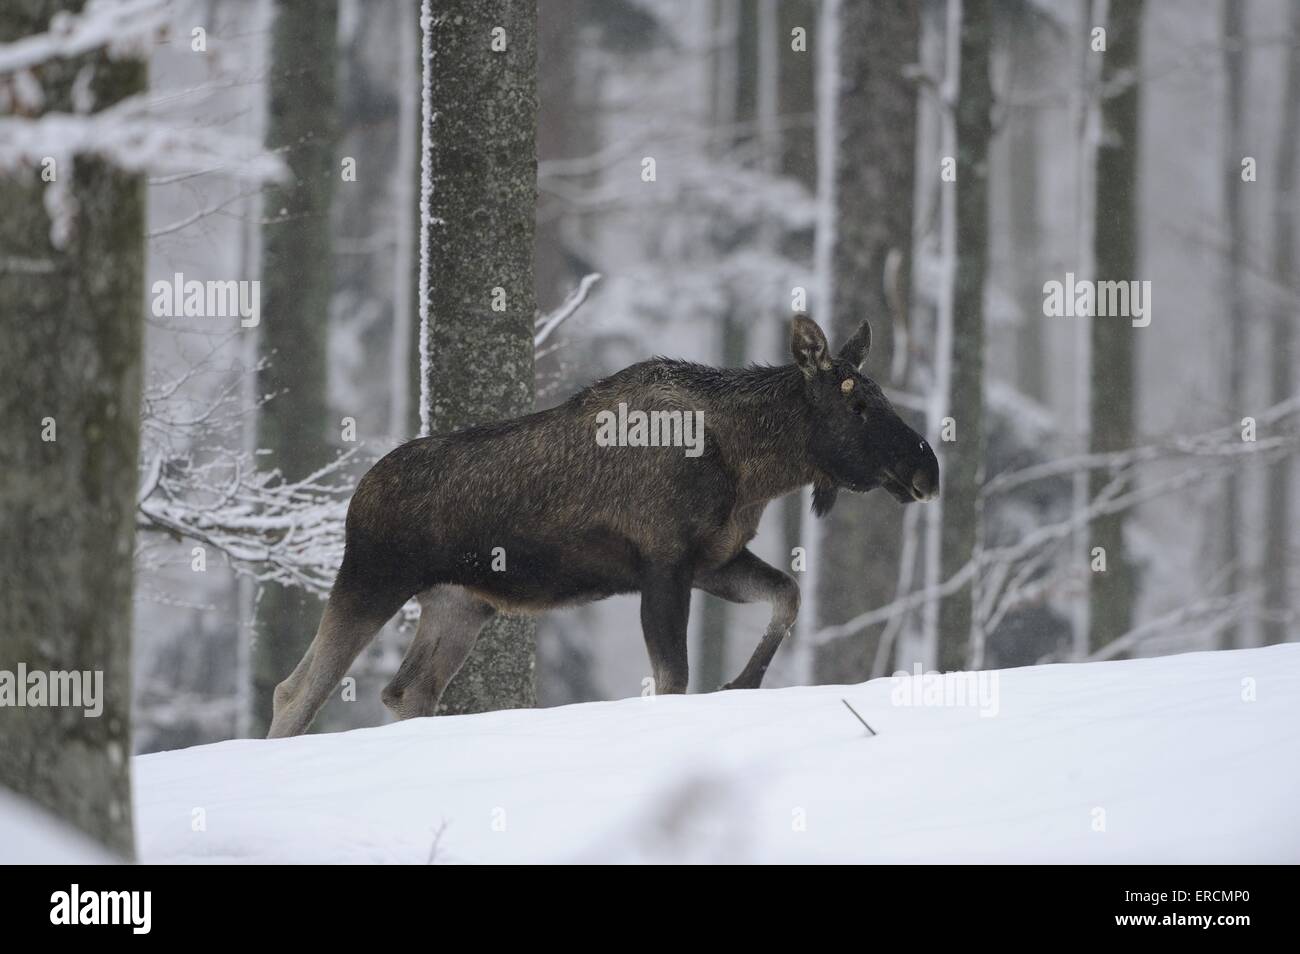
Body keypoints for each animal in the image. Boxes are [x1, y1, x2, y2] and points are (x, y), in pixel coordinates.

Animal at [267, 313, 939, 737]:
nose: (927, 468)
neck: (753, 468)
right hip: (372, 576)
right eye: (857, 403)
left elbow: (788, 597)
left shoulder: (715, 560)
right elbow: (673, 677)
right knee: (296, 690)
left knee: (407, 692)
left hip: (458, 604)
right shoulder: (664, 562)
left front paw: (742, 682)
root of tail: (356, 494)